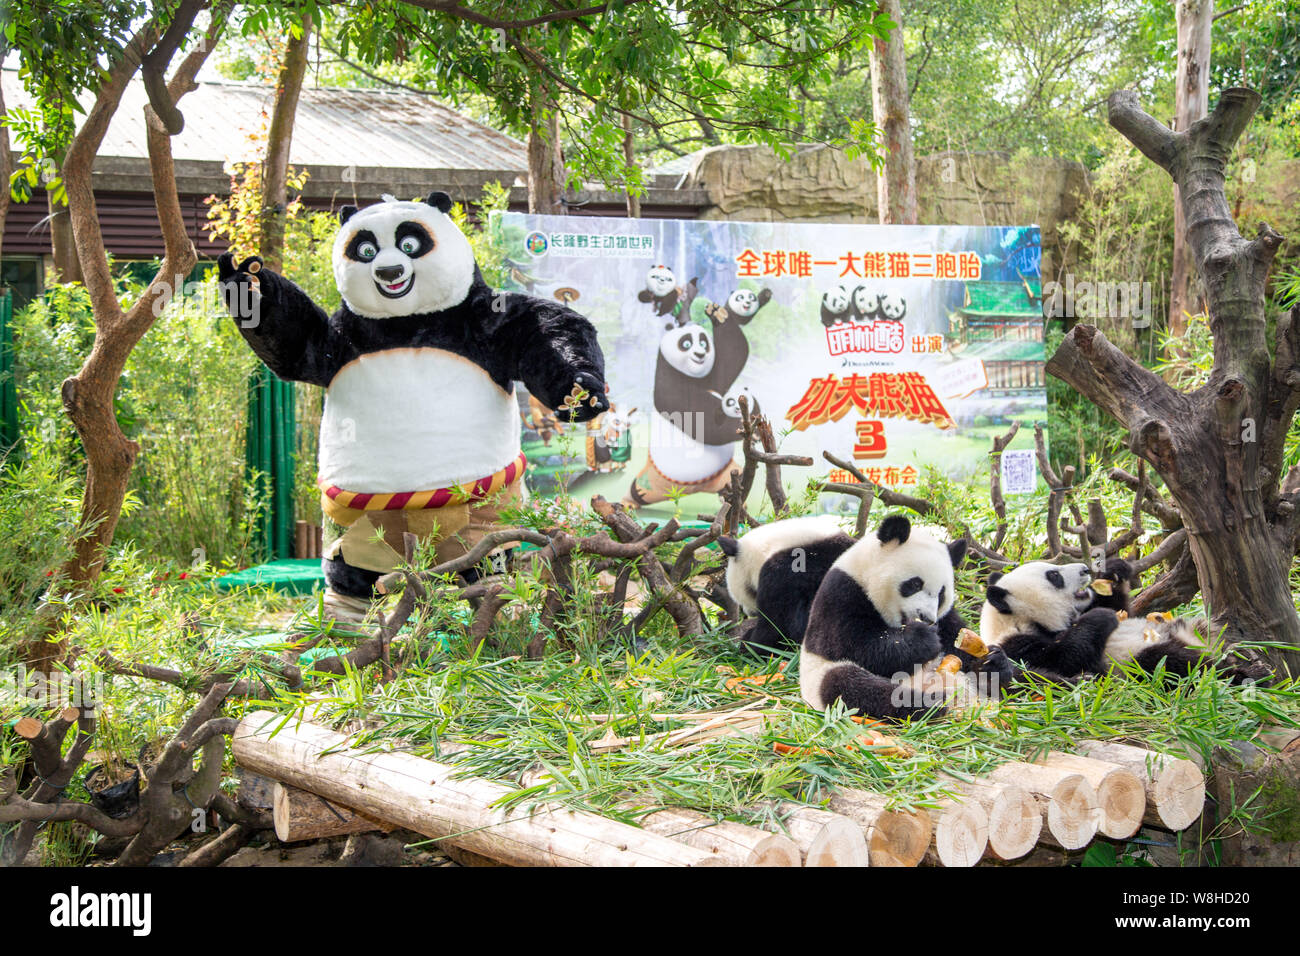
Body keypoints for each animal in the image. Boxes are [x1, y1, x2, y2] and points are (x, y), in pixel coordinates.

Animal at [217, 191, 607, 614]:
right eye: (366, 250)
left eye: (409, 244)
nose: (389, 273)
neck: (404, 322)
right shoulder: (341, 337)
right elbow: (291, 341)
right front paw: (244, 281)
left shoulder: (482, 319)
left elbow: (549, 329)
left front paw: (582, 393)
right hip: (352, 525)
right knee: (350, 570)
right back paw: (342, 620)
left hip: (481, 515)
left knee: (486, 559)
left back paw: (496, 605)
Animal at [799, 515, 990, 721]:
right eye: (915, 584)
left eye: (941, 594)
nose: (927, 618)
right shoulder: (841, 593)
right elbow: (855, 647)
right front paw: (923, 638)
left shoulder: (946, 618)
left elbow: (955, 636)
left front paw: (990, 660)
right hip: (821, 676)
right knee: (850, 685)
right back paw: (928, 704)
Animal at [978, 559, 1263, 684]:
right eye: (1054, 575)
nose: (1085, 569)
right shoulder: (1018, 645)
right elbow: (1067, 659)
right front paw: (1099, 618)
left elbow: (1120, 607)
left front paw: (1113, 573)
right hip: (1138, 660)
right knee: (1174, 663)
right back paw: (1247, 676)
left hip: (1192, 629)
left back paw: (1250, 663)